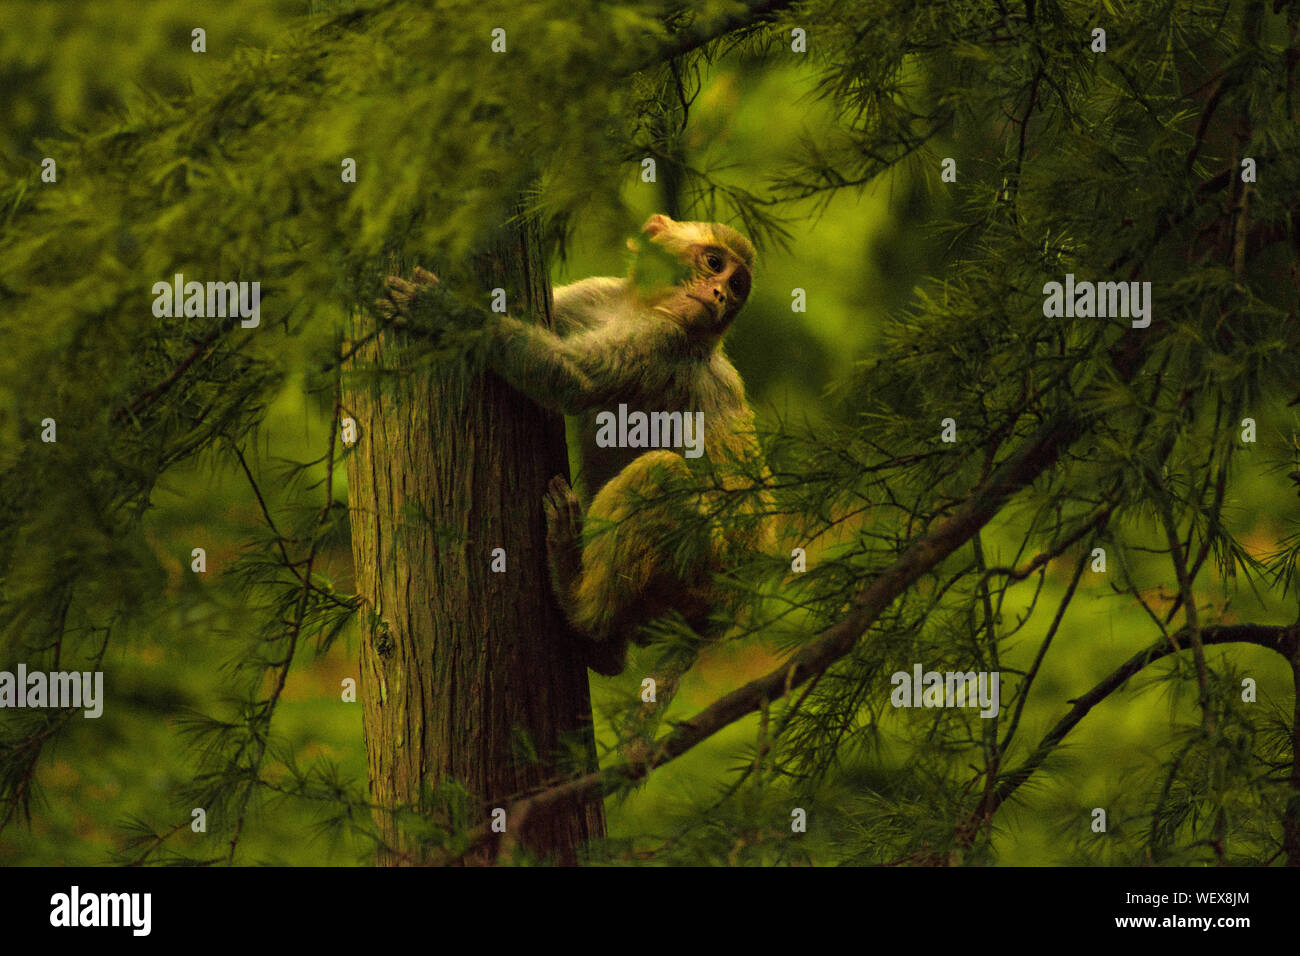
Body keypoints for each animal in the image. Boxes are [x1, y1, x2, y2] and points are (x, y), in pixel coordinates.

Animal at [379, 214, 773, 682]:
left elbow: (570, 380)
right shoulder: (597, 296)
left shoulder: (662, 342)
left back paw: (578, 600)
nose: (719, 295)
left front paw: (449, 315)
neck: (639, 308)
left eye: (736, 287)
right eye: (714, 264)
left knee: (660, 472)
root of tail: (721, 616)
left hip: (698, 570)